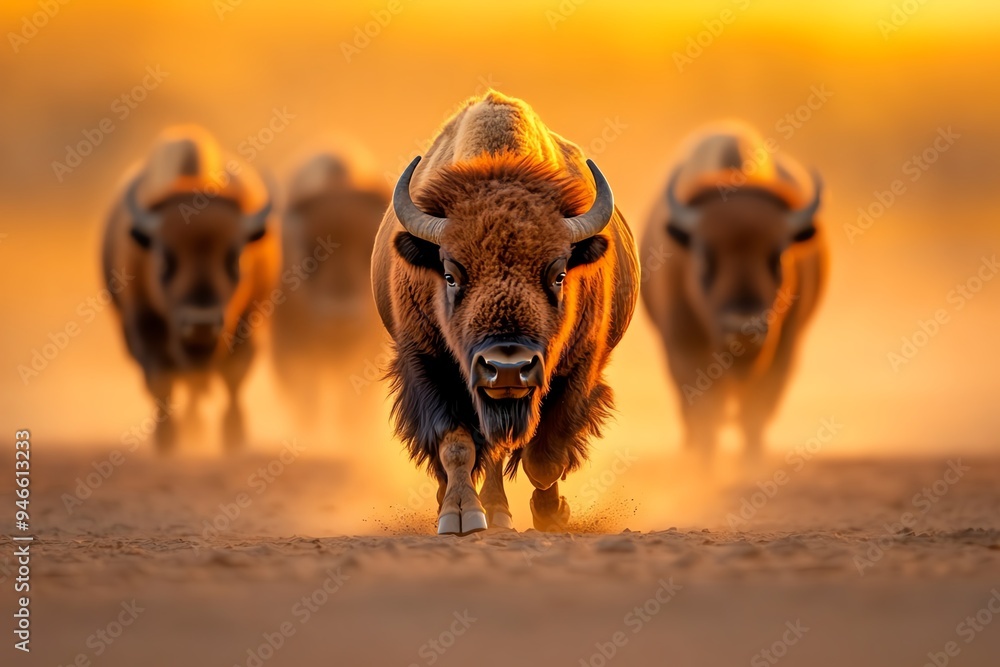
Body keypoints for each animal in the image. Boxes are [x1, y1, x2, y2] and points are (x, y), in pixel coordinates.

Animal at [102, 125, 277, 452]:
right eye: (164, 258)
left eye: (235, 258)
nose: (201, 323)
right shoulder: (141, 325)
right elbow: (160, 381)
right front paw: (166, 441)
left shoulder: (249, 322)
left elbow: (234, 377)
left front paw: (234, 437)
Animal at [371, 91, 639, 534]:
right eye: (450, 274)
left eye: (559, 274)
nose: (508, 367)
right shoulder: (427, 365)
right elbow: (456, 444)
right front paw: (460, 515)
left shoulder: (578, 368)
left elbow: (544, 457)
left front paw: (553, 514)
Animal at [641, 122, 827, 460]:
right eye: (704, 255)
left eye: (778, 255)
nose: (742, 327)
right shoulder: (684, 347)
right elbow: (705, 416)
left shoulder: (783, 347)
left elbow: (754, 414)